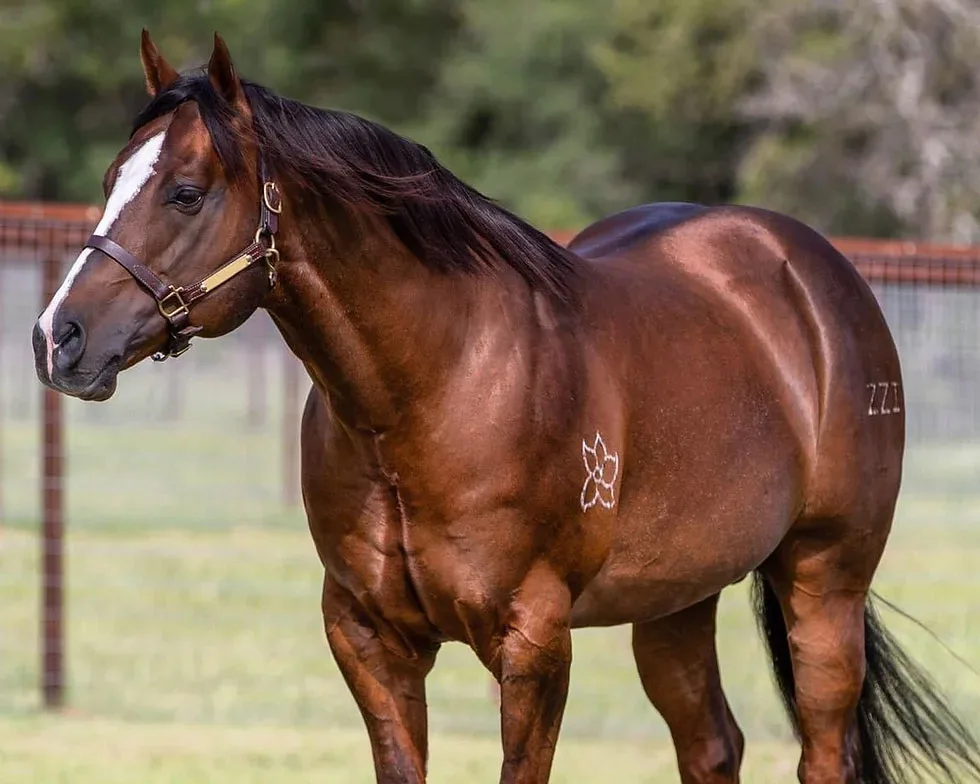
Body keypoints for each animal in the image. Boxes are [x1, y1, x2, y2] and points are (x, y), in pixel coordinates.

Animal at [32, 31, 980, 784]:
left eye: (186, 191)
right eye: (112, 179)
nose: (57, 338)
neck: (428, 390)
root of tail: (815, 273)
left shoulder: (532, 645)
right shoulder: (368, 640)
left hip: (824, 582)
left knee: (823, 752)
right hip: (676, 603)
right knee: (712, 746)